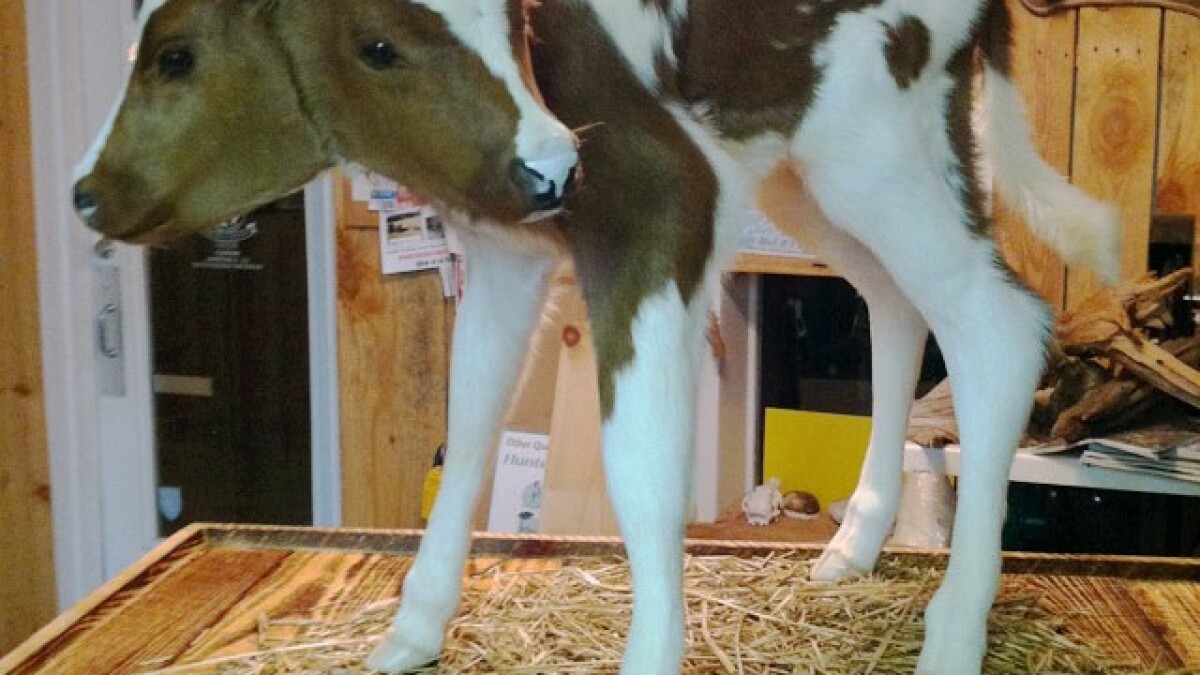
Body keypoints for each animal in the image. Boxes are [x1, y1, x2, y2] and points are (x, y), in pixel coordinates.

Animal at [72, 1, 1120, 672]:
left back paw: (953, 634)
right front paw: (412, 633)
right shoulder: (501, 250)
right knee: (897, 300)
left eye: (173, 56)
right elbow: (470, 427)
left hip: (877, 149)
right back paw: (854, 546)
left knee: (997, 321)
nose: (83, 193)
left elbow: (643, 466)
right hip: (808, 172)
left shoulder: (663, 203)